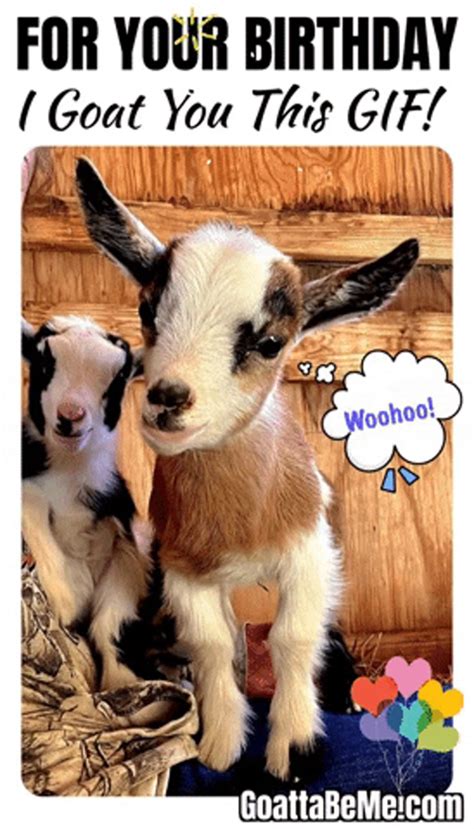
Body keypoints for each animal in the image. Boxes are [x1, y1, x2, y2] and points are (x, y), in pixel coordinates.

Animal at [22, 314, 151, 690]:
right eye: (43, 362)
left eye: (120, 376)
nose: (70, 415)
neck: (71, 469)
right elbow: (32, 506)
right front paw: (65, 598)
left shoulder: (127, 552)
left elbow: (112, 622)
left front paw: (123, 683)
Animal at [76, 158, 419, 780]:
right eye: (146, 310)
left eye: (269, 342)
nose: (167, 400)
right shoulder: (182, 567)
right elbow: (212, 644)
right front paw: (219, 745)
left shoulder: (309, 554)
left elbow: (292, 638)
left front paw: (295, 751)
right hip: (133, 563)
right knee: (112, 628)